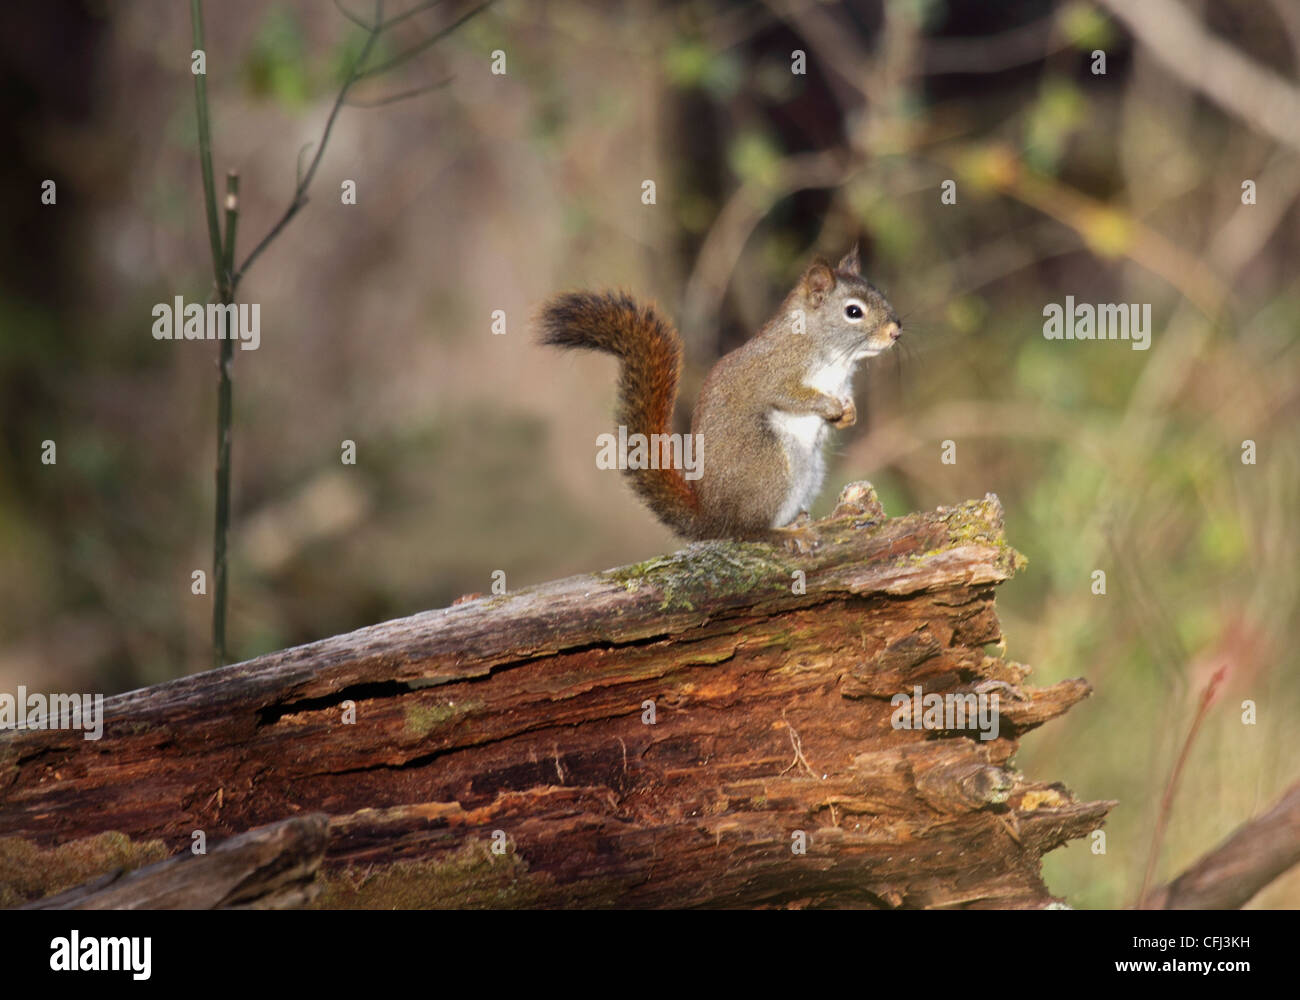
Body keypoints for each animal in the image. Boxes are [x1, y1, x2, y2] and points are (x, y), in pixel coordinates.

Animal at [539, 244, 901, 550]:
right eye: (853, 311)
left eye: (881, 294)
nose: (896, 331)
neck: (835, 355)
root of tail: (711, 521)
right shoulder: (775, 373)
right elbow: (790, 396)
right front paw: (828, 406)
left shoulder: (843, 384)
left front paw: (848, 414)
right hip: (770, 465)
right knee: (746, 531)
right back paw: (784, 533)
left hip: (809, 472)